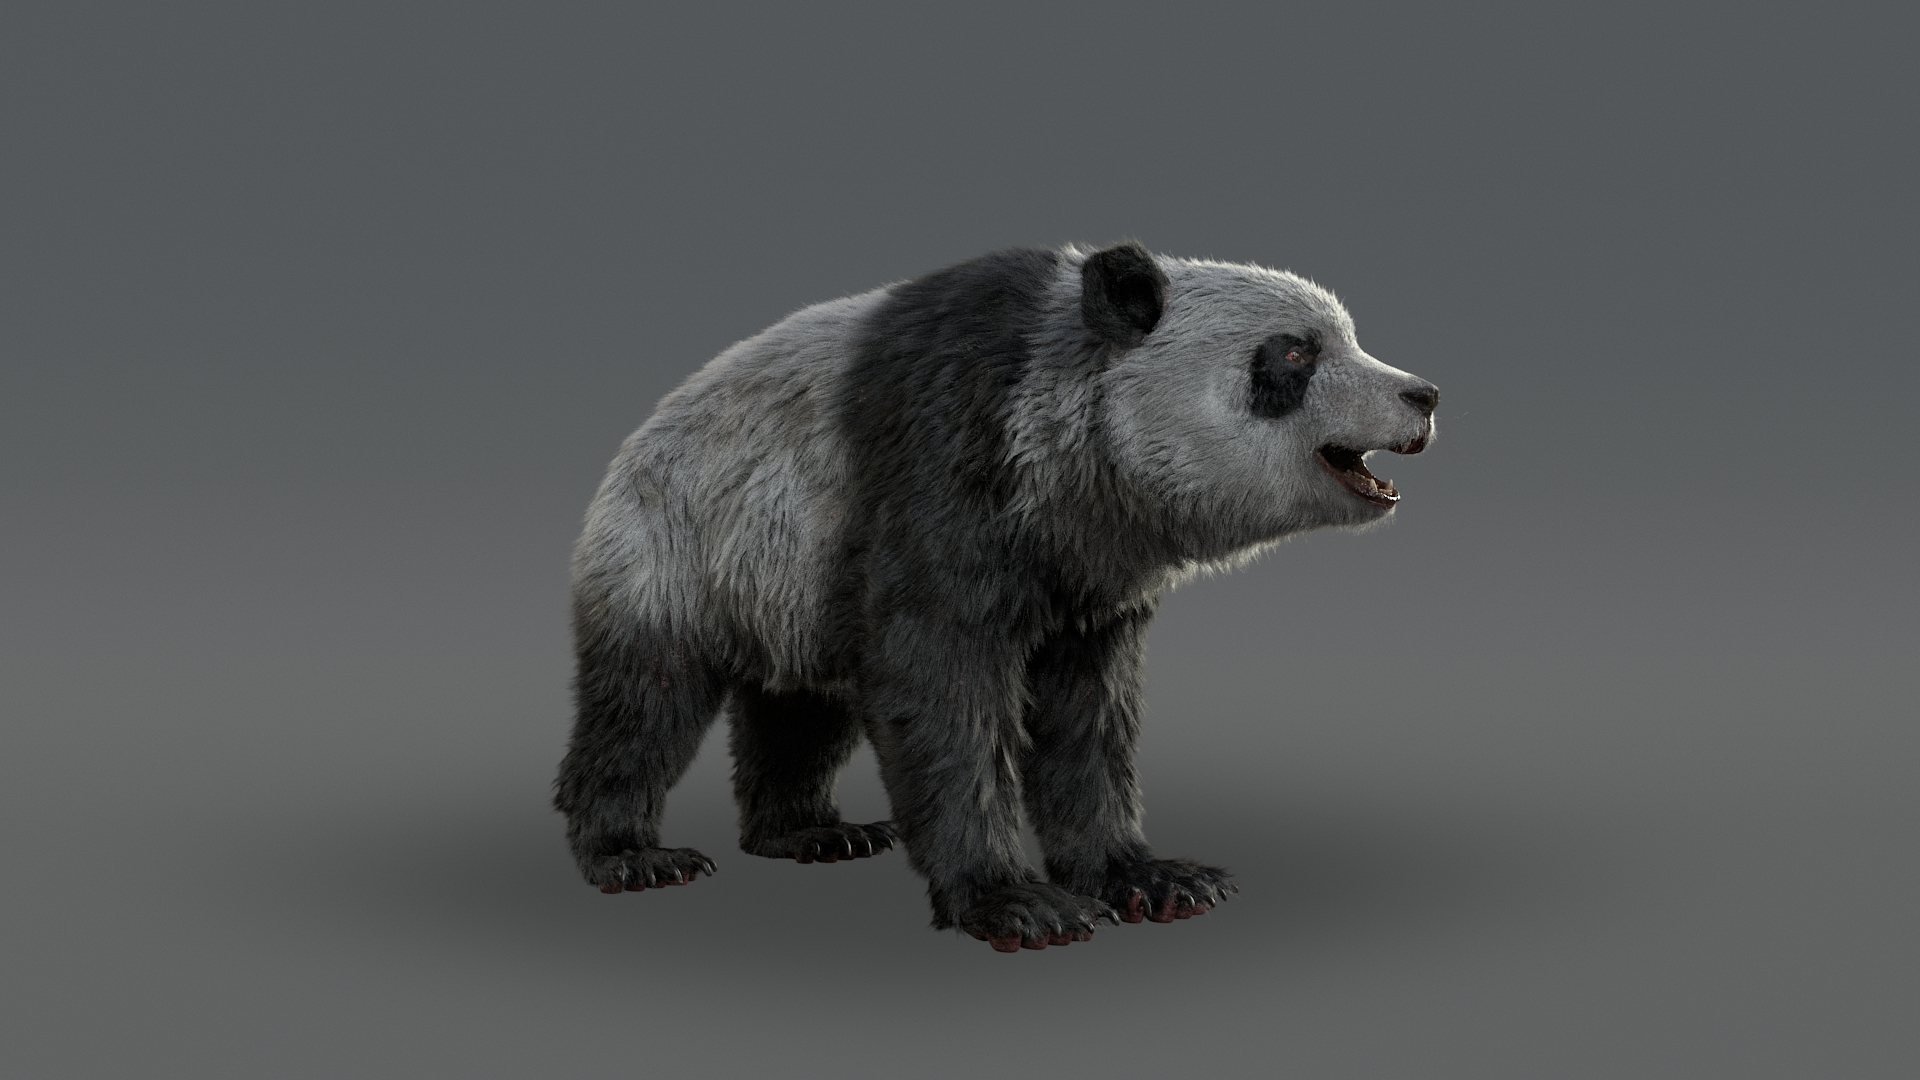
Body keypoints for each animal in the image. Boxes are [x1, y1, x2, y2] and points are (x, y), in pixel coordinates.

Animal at [554, 242, 1438, 952]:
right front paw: (1016, 903)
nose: (1424, 396)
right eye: (1292, 354)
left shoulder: (1088, 571)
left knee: (803, 706)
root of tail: (635, 441)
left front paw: (1149, 878)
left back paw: (809, 834)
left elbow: (1090, 715)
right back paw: (630, 853)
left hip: (789, 581)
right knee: (646, 699)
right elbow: (940, 684)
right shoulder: (940, 468)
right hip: (679, 540)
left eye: (1348, 338)